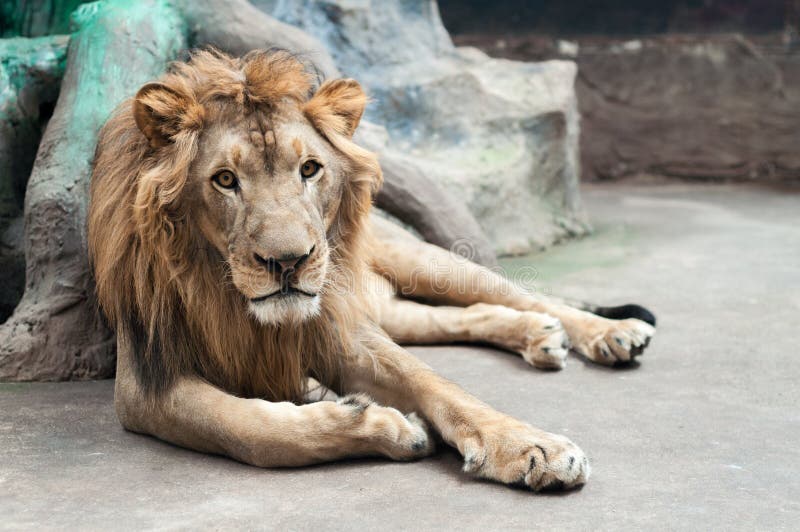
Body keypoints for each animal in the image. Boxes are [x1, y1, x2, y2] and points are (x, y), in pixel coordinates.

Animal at [87, 49, 655, 491]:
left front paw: (530, 446)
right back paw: (538, 335)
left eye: (310, 169)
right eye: (225, 179)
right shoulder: (147, 382)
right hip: (379, 302)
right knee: (454, 317)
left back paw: (610, 332)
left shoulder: (337, 327)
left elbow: (438, 384)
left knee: (520, 294)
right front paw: (388, 426)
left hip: (421, 263)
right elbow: (251, 429)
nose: (289, 261)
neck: (225, 293)